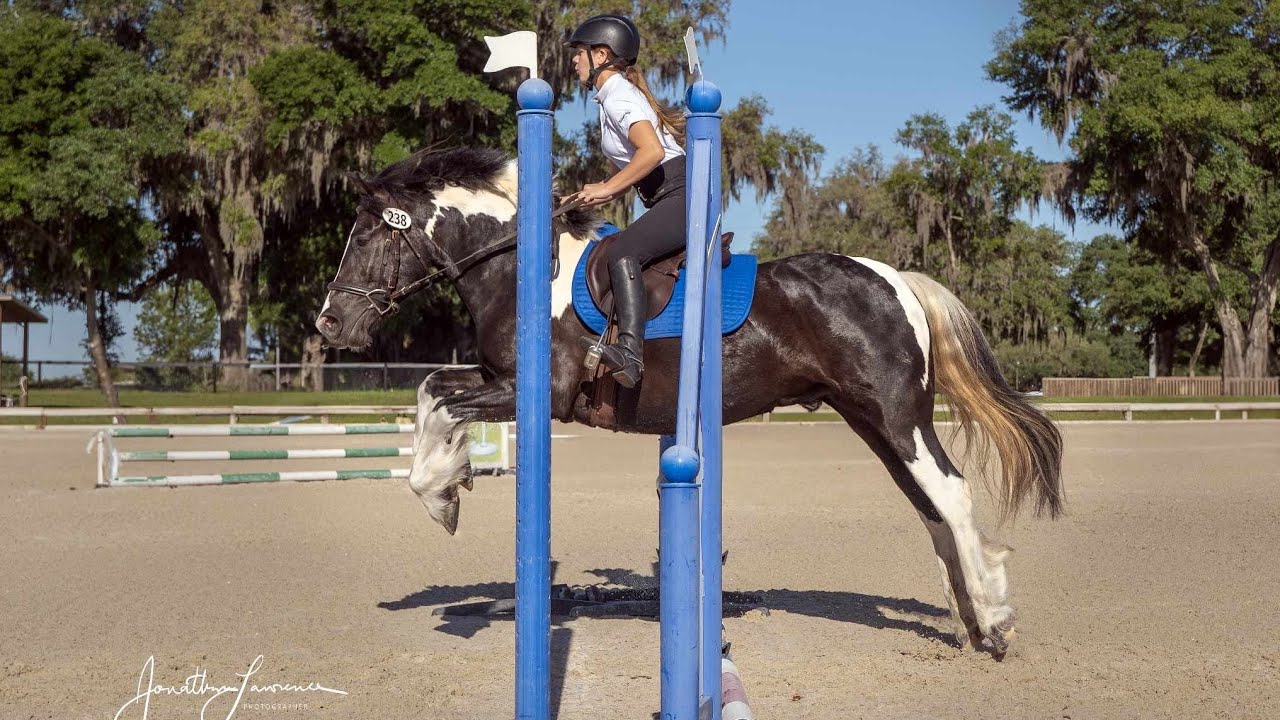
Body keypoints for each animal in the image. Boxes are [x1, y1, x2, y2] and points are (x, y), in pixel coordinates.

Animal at [315, 147, 1064, 656]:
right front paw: (448, 485)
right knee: (931, 508)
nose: (329, 325)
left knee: (952, 494)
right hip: (871, 423)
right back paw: (970, 621)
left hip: (896, 417)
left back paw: (994, 623)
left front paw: (442, 492)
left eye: (367, 235)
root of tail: (897, 278)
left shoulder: (538, 394)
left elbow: (443, 406)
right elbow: (430, 390)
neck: (516, 268)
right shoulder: (495, 378)